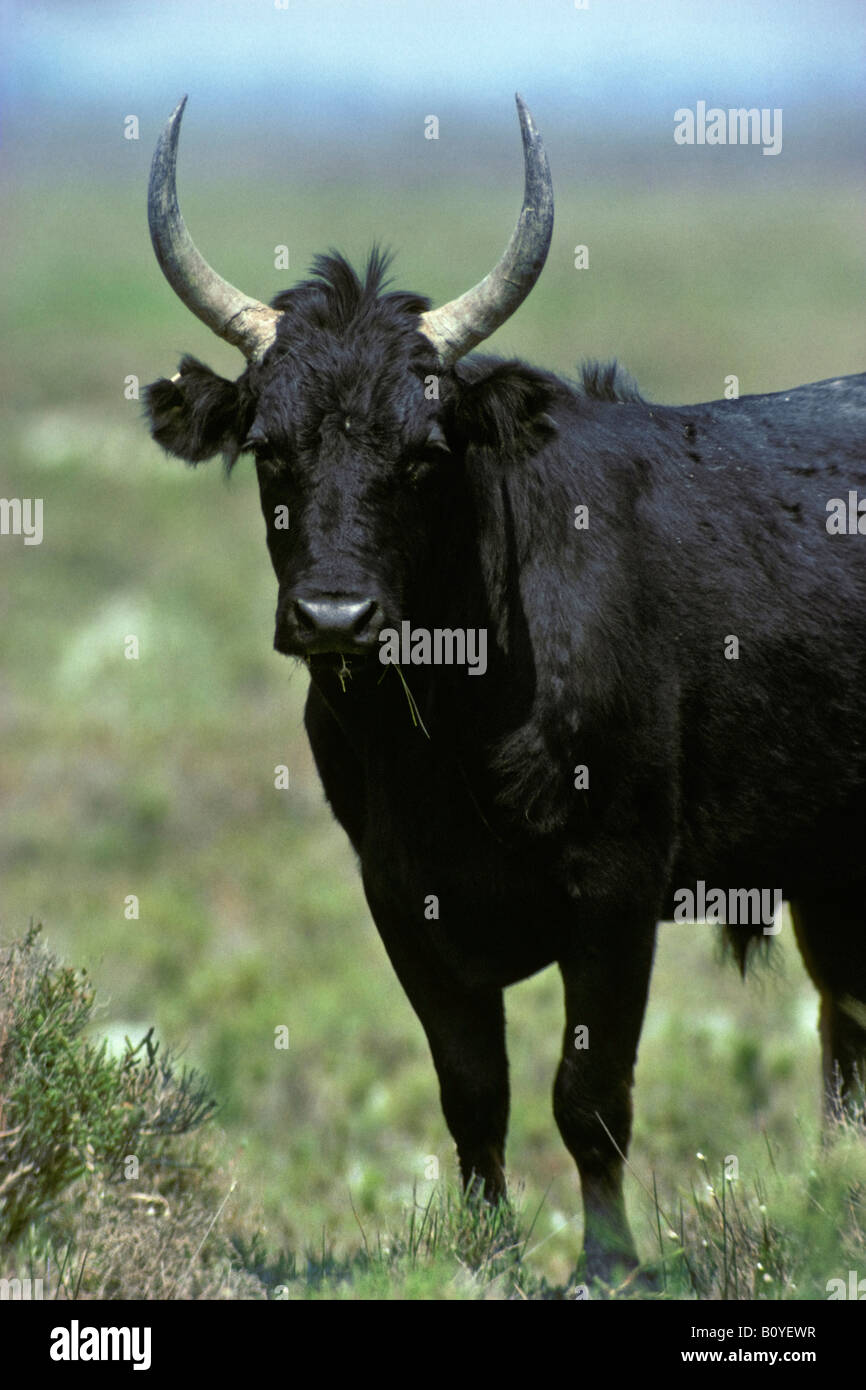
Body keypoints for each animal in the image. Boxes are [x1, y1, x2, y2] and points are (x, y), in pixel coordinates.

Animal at [144, 95, 866, 1284]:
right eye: (269, 447)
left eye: (424, 450)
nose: (335, 616)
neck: (444, 729)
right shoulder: (399, 895)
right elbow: (472, 1089)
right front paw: (484, 1251)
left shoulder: (614, 888)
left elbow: (589, 1095)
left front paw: (605, 1262)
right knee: (845, 1031)